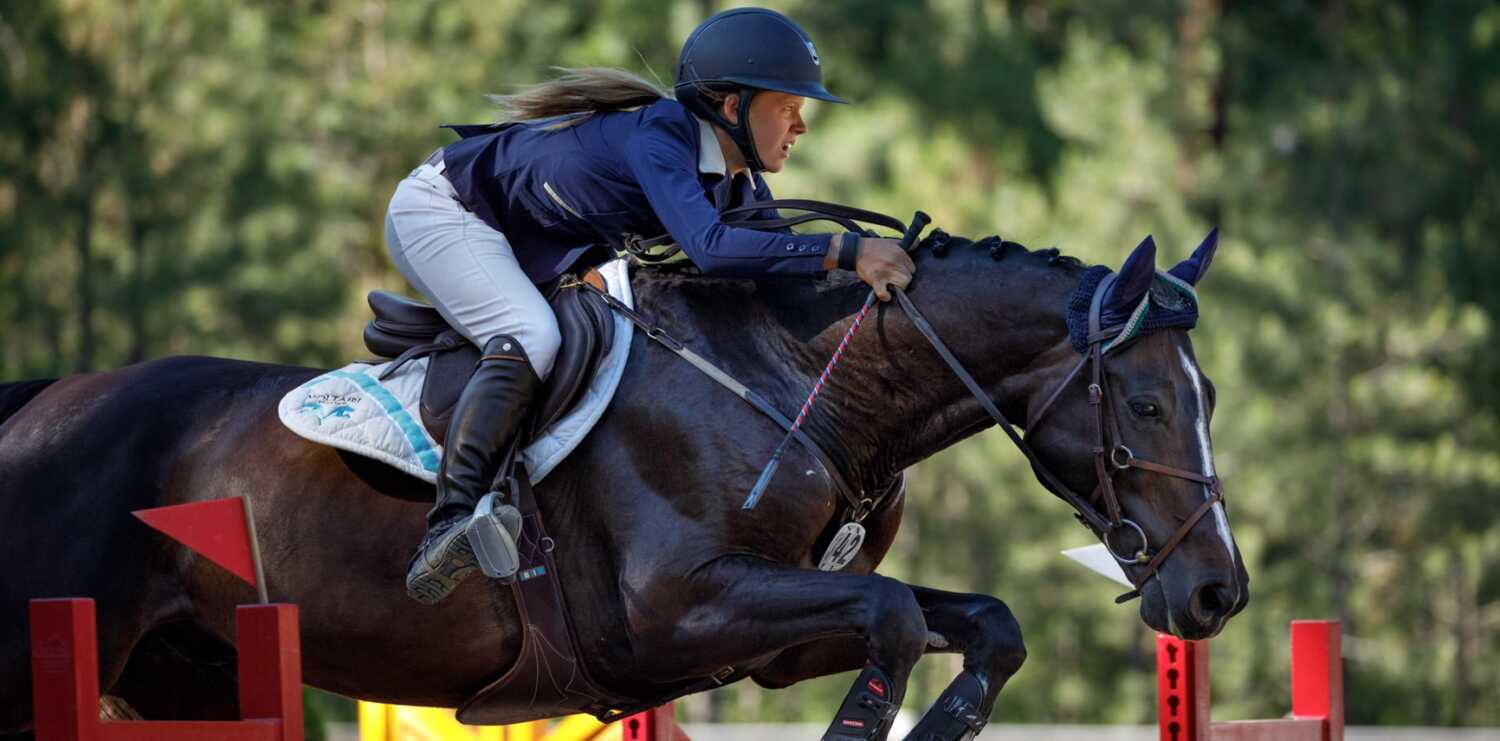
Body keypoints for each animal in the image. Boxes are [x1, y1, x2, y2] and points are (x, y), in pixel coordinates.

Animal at [0, 229, 1248, 740]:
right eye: (1145, 406)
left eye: (1210, 397)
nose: (1218, 593)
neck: (792, 376)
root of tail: (38, 408)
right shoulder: (676, 611)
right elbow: (896, 617)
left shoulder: (775, 632)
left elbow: (978, 621)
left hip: (185, 674)